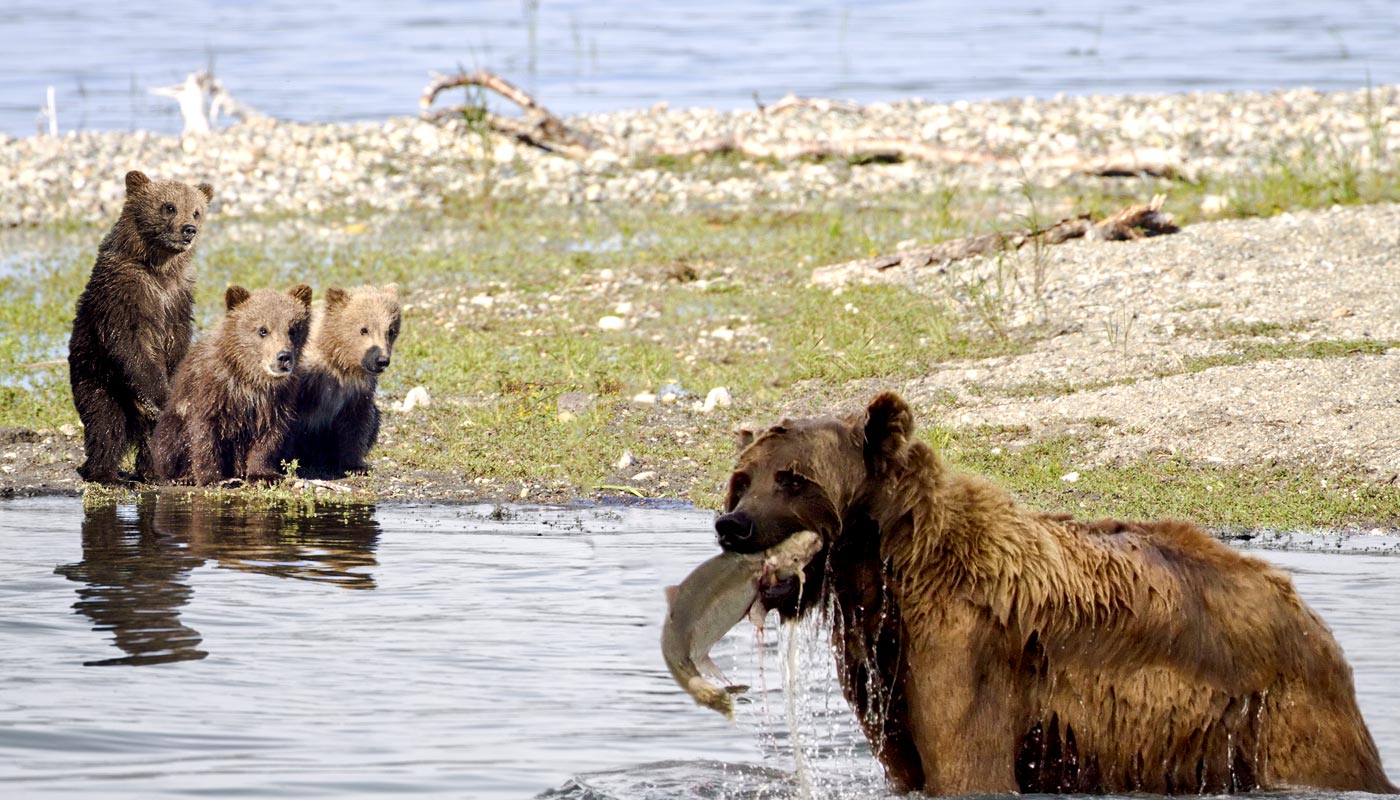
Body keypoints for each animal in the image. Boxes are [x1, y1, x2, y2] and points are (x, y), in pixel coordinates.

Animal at [67, 169, 214, 483]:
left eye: (196, 211)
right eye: (169, 206)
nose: (188, 230)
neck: (158, 267)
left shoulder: (178, 298)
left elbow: (178, 340)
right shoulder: (125, 292)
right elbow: (130, 343)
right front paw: (161, 395)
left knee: (151, 437)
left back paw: (158, 472)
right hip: (96, 376)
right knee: (105, 423)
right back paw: (106, 473)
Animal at [153, 284, 312, 486]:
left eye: (293, 329)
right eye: (263, 330)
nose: (283, 357)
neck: (250, 378)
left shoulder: (277, 400)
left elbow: (271, 434)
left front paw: (264, 475)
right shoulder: (211, 392)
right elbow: (204, 434)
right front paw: (214, 478)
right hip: (174, 419)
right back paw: (183, 477)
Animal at [282, 284, 401, 477]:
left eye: (390, 331)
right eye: (364, 329)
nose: (381, 360)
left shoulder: (356, 392)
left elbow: (356, 424)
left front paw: (355, 465)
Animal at [715, 392, 1395, 796]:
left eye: (793, 478)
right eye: (742, 479)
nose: (733, 525)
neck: (888, 572)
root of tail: (1306, 611)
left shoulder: (964, 646)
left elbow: (967, 763)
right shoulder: (885, 664)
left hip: (1282, 712)